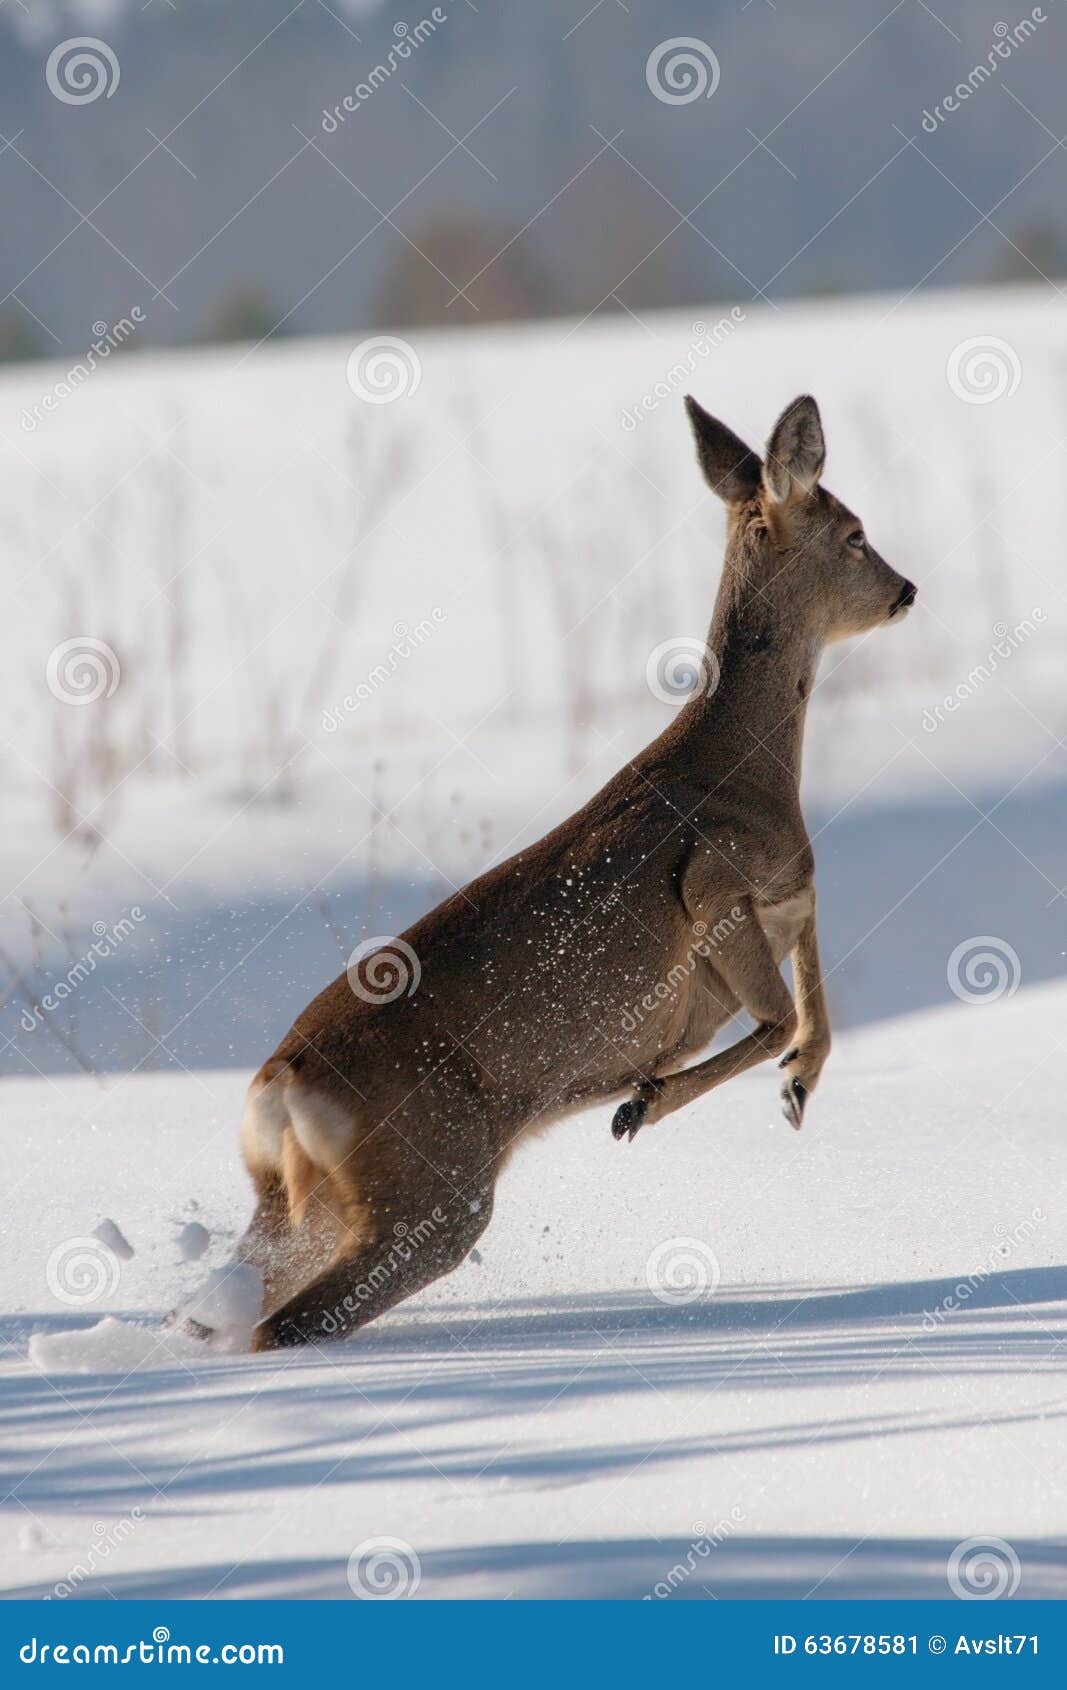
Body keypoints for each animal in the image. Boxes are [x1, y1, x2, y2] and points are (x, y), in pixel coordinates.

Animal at [229, 393, 916, 1350]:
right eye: (853, 534)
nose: (905, 590)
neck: (747, 768)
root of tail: (278, 1086)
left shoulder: (787, 894)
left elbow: (808, 993)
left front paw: (793, 1090)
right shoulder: (713, 881)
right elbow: (777, 1012)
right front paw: (643, 1103)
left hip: (293, 1206)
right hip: (428, 1188)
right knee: (284, 1324)